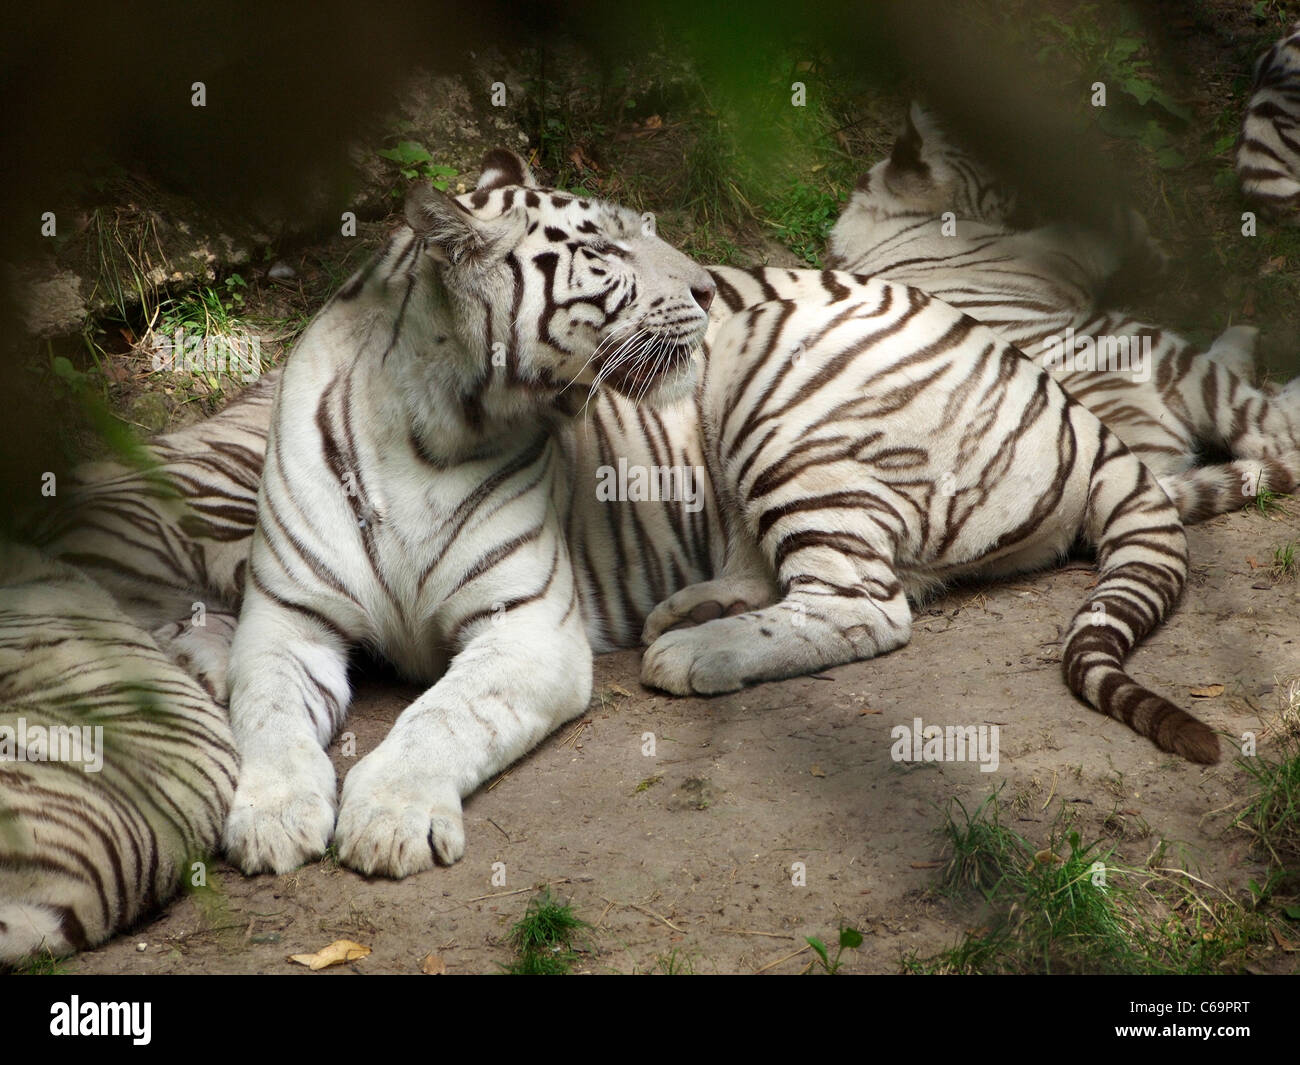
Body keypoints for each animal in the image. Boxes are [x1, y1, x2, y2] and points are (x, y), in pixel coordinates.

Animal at [1, 149, 1214, 961]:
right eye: (599, 247)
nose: (708, 284)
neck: (424, 420)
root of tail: (1063, 396)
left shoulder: (526, 633)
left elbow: (440, 717)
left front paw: (389, 819)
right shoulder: (289, 619)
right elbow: (265, 714)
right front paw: (273, 813)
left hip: (792, 409)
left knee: (867, 605)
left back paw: (695, 655)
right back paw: (693, 609)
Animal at [827, 102, 1300, 524]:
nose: (1021, 177)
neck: (887, 213)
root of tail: (1130, 473)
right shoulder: (1056, 253)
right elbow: (1099, 226)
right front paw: (1149, 248)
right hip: (1154, 351)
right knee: (1268, 431)